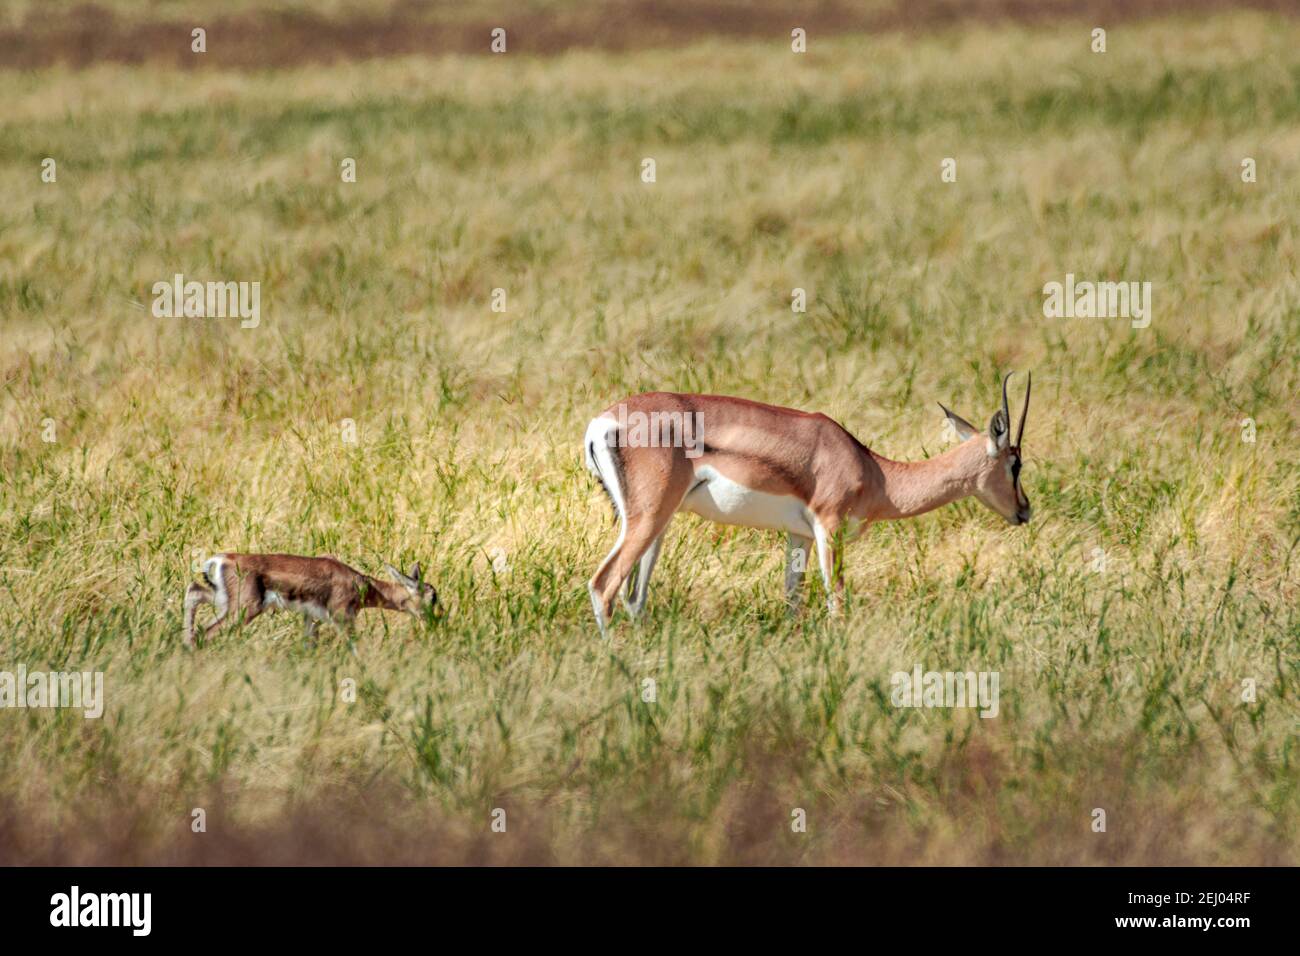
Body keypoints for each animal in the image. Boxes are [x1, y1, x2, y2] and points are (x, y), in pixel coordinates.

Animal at [183, 554, 437, 648]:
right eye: (433, 597)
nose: (438, 619)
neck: (362, 584)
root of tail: (223, 559)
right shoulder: (343, 619)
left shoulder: (311, 619)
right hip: (244, 609)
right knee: (206, 632)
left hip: (223, 601)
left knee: (193, 591)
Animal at [583, 372, 1031, 634]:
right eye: (1015, 463)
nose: (1024, 510)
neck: (874, 472)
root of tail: (604, 421)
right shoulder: (828, 529)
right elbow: (837, 599)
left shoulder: (797, 536)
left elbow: (792, 600)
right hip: (648, 518)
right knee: (604, 585)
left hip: (657, 523)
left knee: (634, 598)